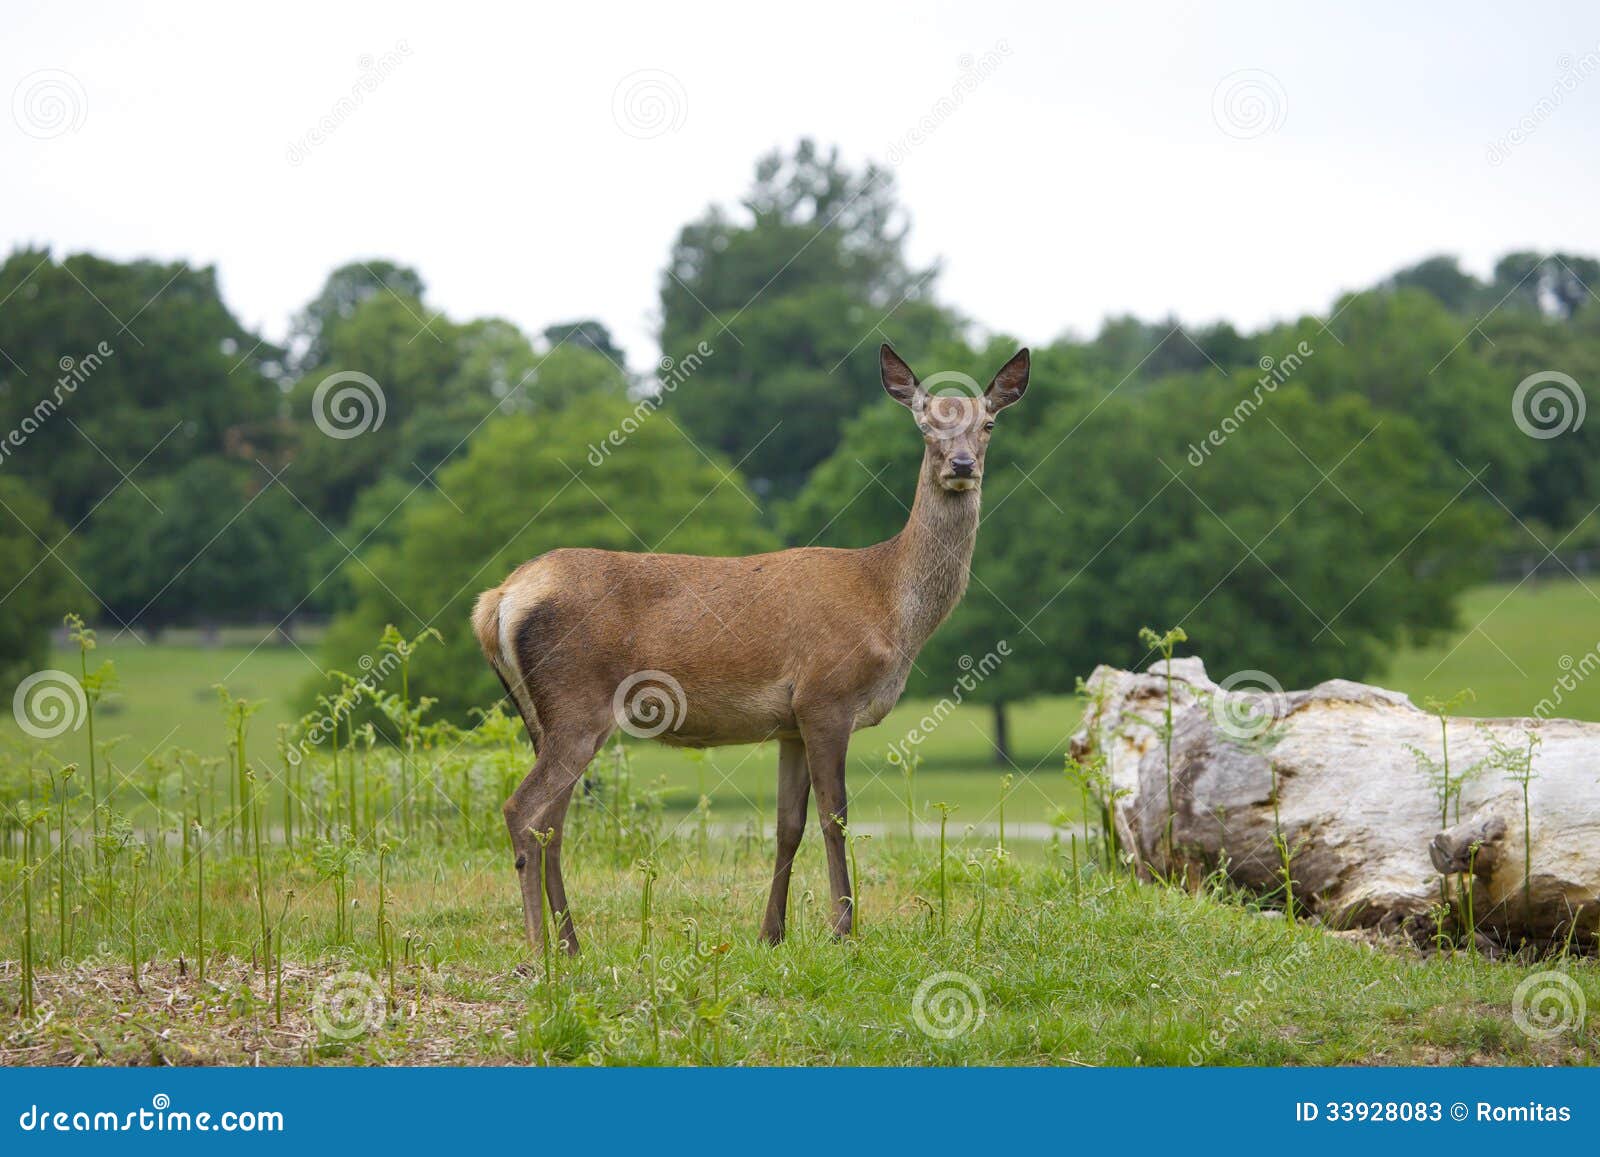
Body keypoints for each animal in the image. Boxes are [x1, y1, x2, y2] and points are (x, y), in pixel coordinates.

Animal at [471, 344, 1029, 954]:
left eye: (989, 423)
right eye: (925, 424)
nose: (962, 465)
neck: (888, 606)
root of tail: (496, 601)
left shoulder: (790, 722)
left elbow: (788, 825)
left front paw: (772, 934)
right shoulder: (827, 696)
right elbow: (835, 816)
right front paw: (843, 930)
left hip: (543, 715)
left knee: (553, 821)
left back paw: (572, 946)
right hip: (577, 703)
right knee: (523, 808)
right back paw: (538, 952)